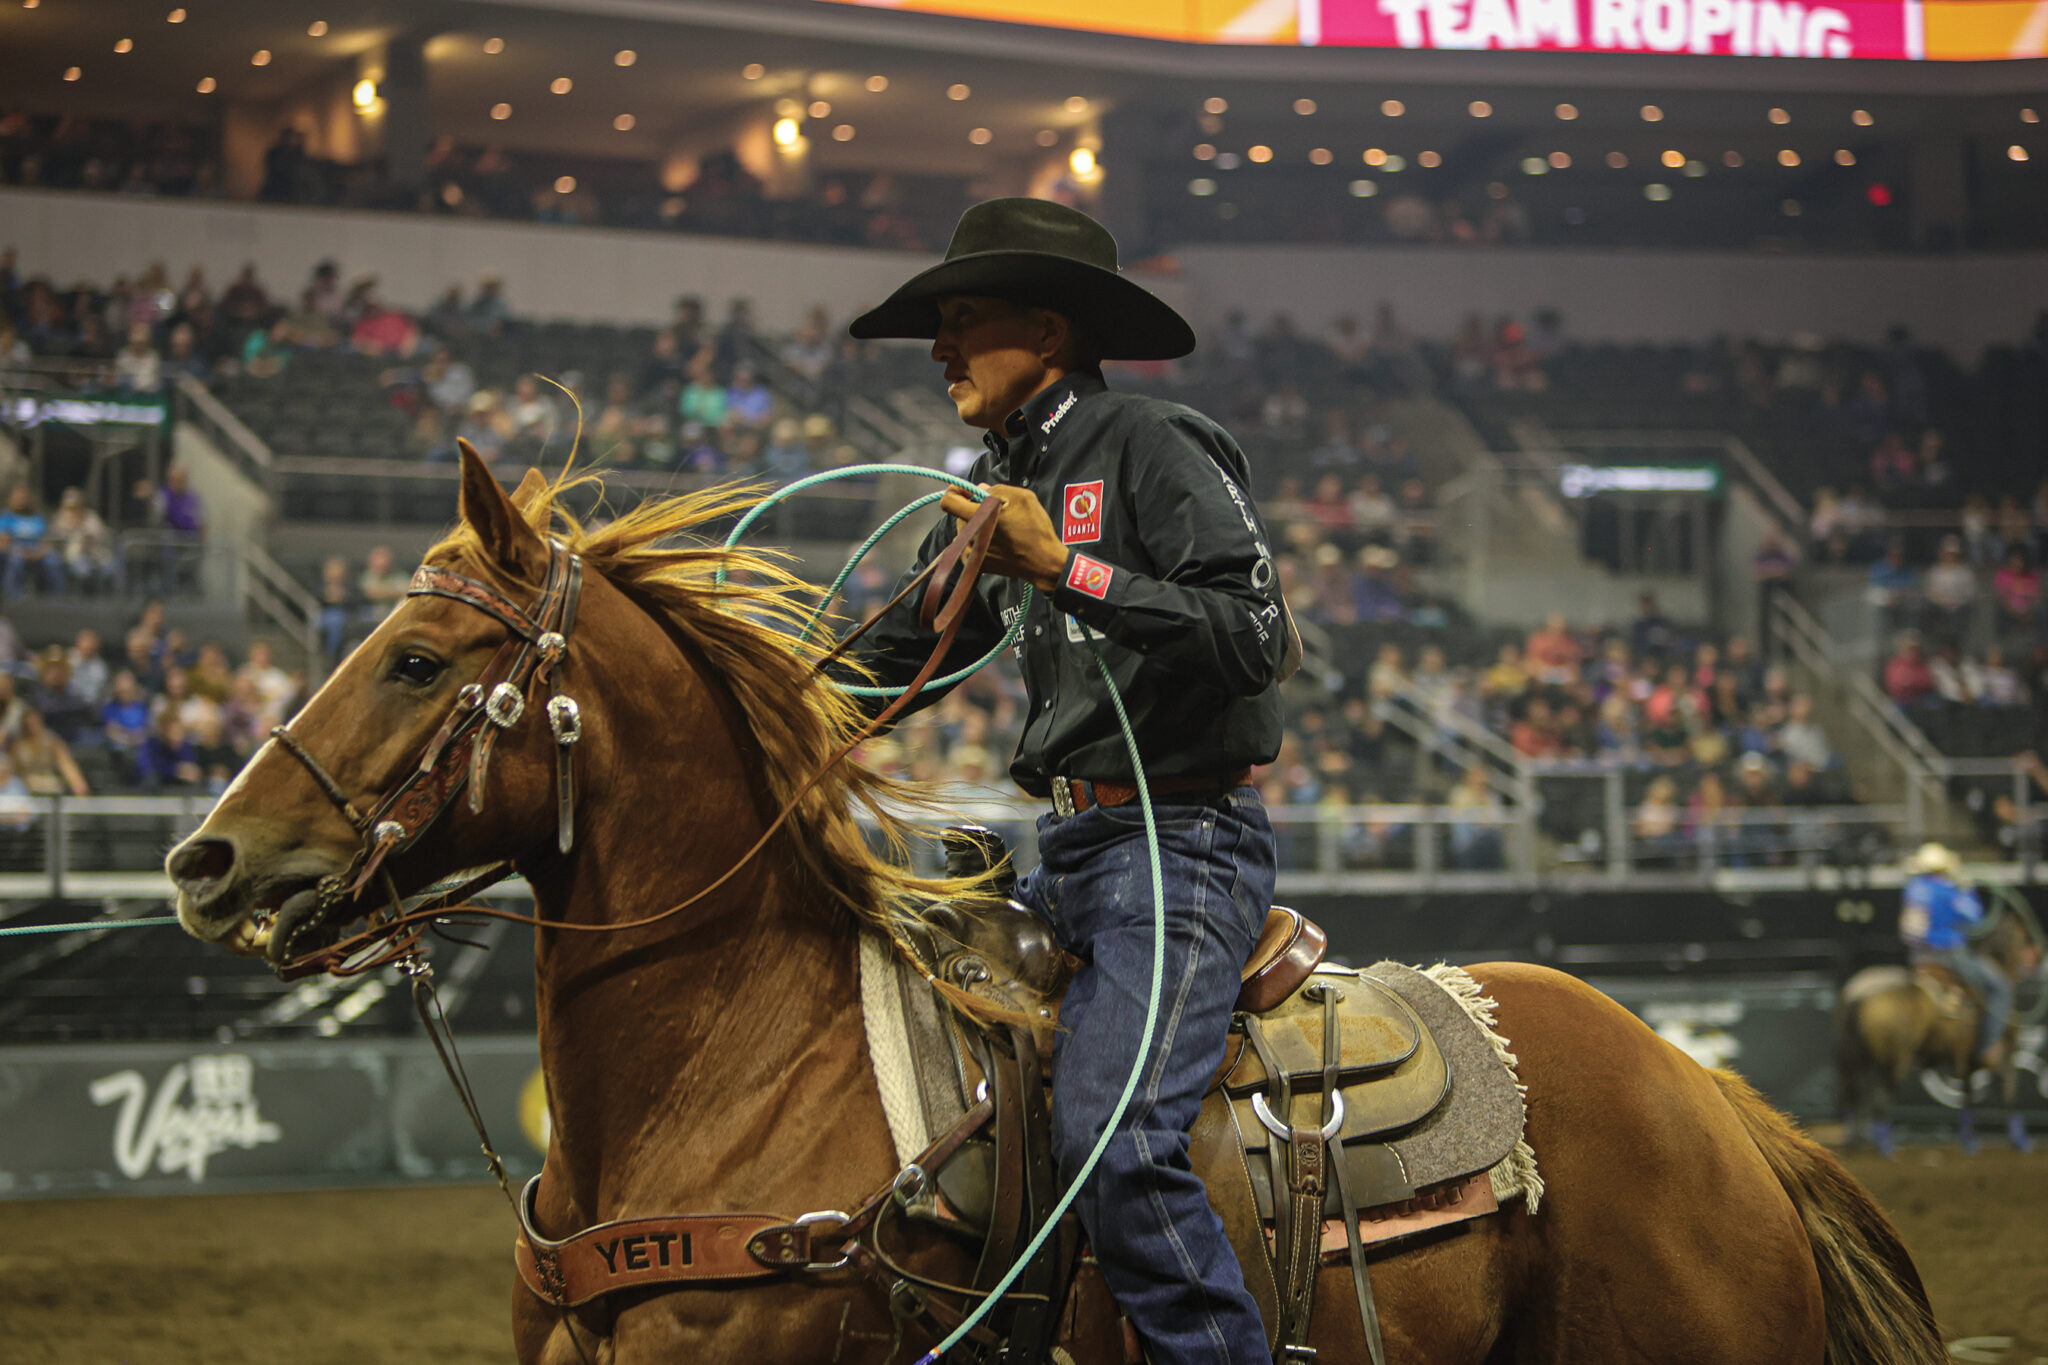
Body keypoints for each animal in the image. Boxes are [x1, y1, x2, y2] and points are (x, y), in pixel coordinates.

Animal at [1838, 895, 2044, 1156]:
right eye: (2025, 932)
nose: (2040, 954)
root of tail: (1861, 994)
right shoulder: (1995, 1054)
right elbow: (2007, 1090)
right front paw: (2017, 1140)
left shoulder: (1968, 1060)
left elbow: (1971, 1094)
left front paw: (1972, 1140)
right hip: (1894, 1061)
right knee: (1879, 1098)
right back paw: (1886, 1146)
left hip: (1857, 1059)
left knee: (1853, 1097)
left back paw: (1855, 1141)